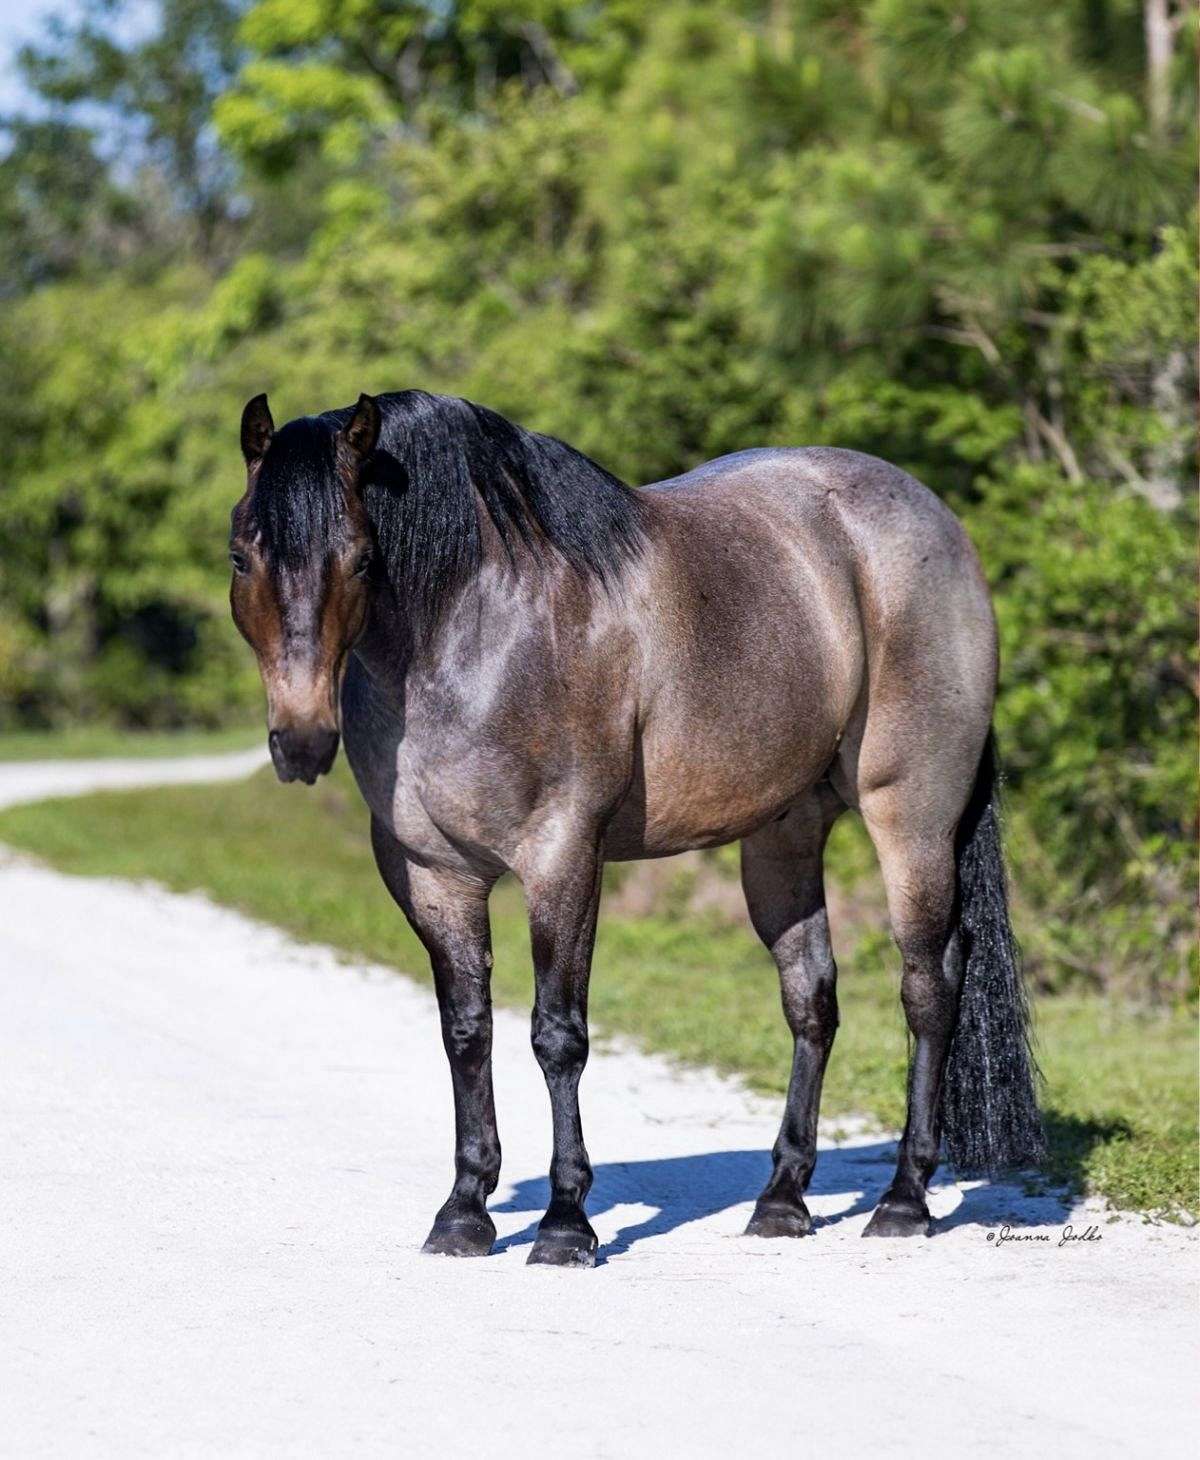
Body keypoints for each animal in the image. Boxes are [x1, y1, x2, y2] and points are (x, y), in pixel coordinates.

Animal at [229, 387, 1043, 1267]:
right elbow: (466, 1031)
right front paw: (464, 1211)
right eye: (241, 558)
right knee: (812, 999)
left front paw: (564, 1224)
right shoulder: (432, 873)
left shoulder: (562, 855)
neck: (473, 628)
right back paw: (782, 1199)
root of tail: (936, 521)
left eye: (361, 561)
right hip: (784, 834)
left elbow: (557, 1034)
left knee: (929, 986)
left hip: (912, 816)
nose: (302, 741)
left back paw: (903, 1199)